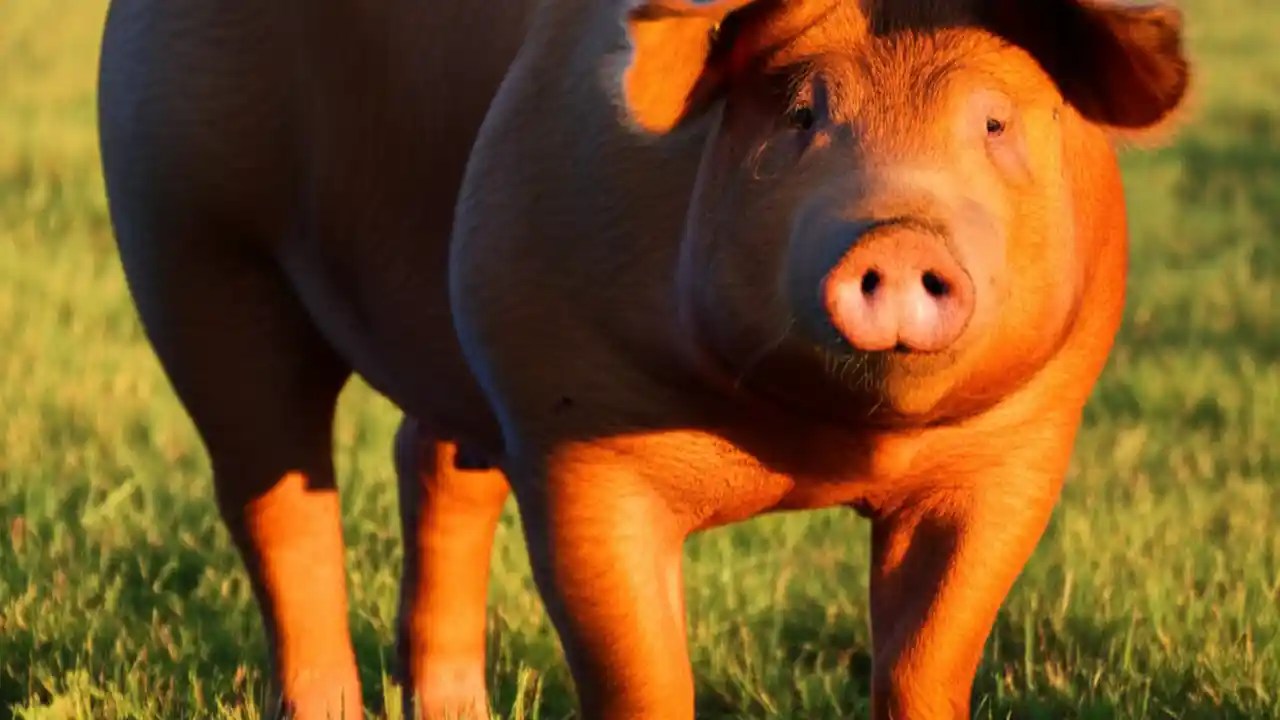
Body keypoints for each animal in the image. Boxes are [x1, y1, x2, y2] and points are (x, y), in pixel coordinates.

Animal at [96, 0, 1190, 718]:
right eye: (799, 118)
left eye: (994, 123)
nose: (896, 233)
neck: (818, 443)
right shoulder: (573, 433)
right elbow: (640, 670)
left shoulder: (1022, 448)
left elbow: (927, 658)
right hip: (190, 240)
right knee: (275, 493)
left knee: (431, 464)